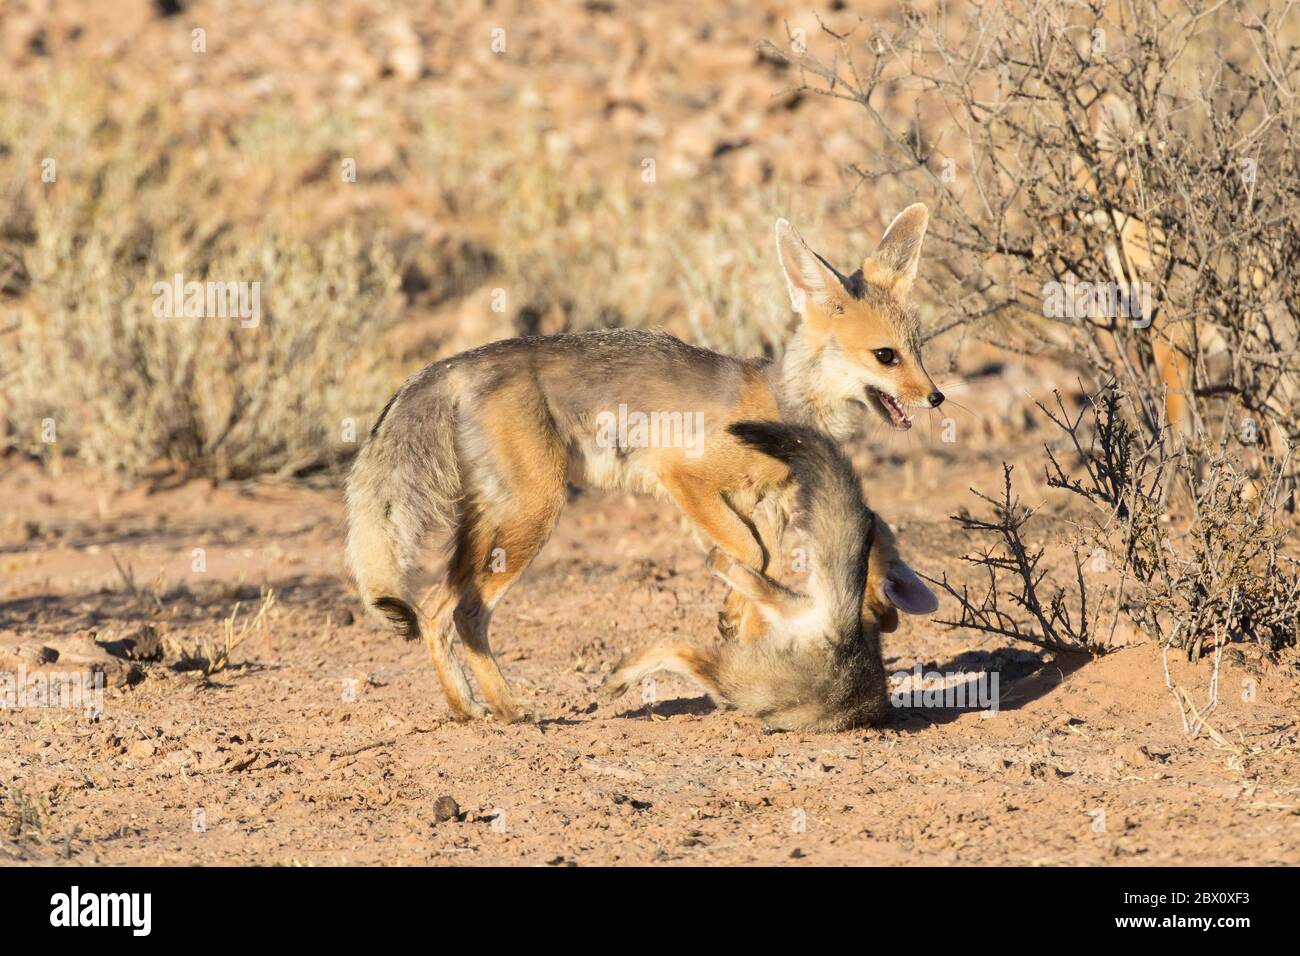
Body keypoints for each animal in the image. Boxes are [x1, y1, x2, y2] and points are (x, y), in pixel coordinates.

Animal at [603, 421, 891, 732]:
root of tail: (846, 633)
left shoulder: (728, 689)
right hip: (781, 612)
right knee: (753, 579)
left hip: (735, 677)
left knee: (677, 645)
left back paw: (617, 678)